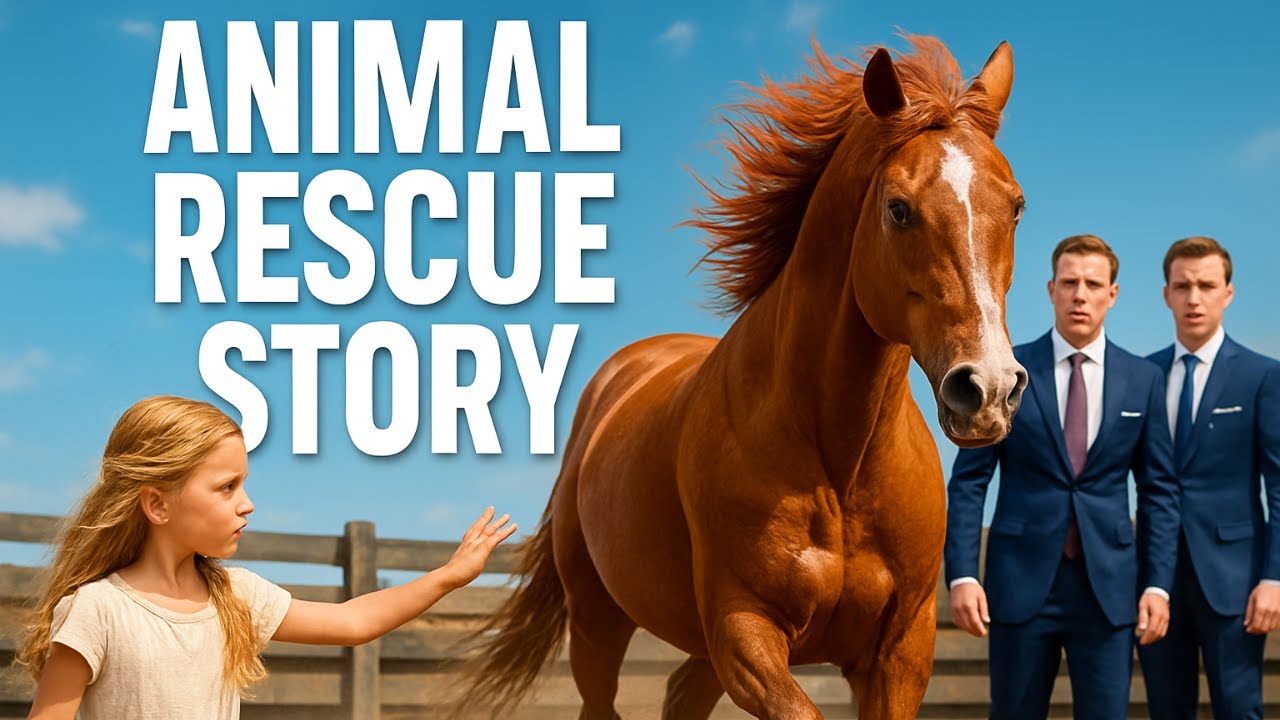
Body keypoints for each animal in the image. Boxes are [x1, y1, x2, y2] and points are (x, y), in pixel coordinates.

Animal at [459, 36, 1028, 720]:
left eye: (1016, 206)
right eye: (899, 209)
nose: (988, 389)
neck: (838, 466)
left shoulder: (900, 651)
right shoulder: (744, 631)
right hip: (599, 624)